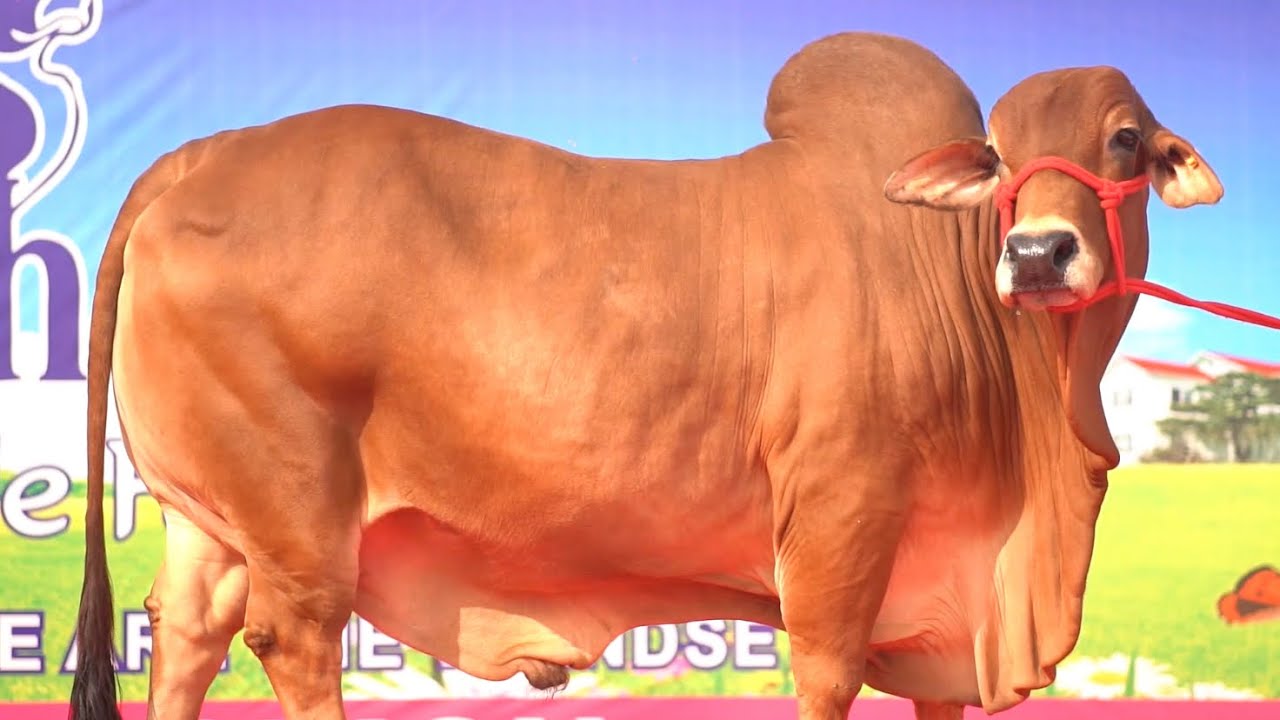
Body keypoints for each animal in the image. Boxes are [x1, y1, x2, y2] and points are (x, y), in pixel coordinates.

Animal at [69, 30, 1223, 720]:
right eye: (997, 155)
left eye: (1126, 139)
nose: (1036, 254)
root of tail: (200, 154)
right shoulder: (840, 515)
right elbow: (824, 671)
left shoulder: (945, 612)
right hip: (298, 511)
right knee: (294, 639)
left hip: (212, 522)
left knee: (184, 634)